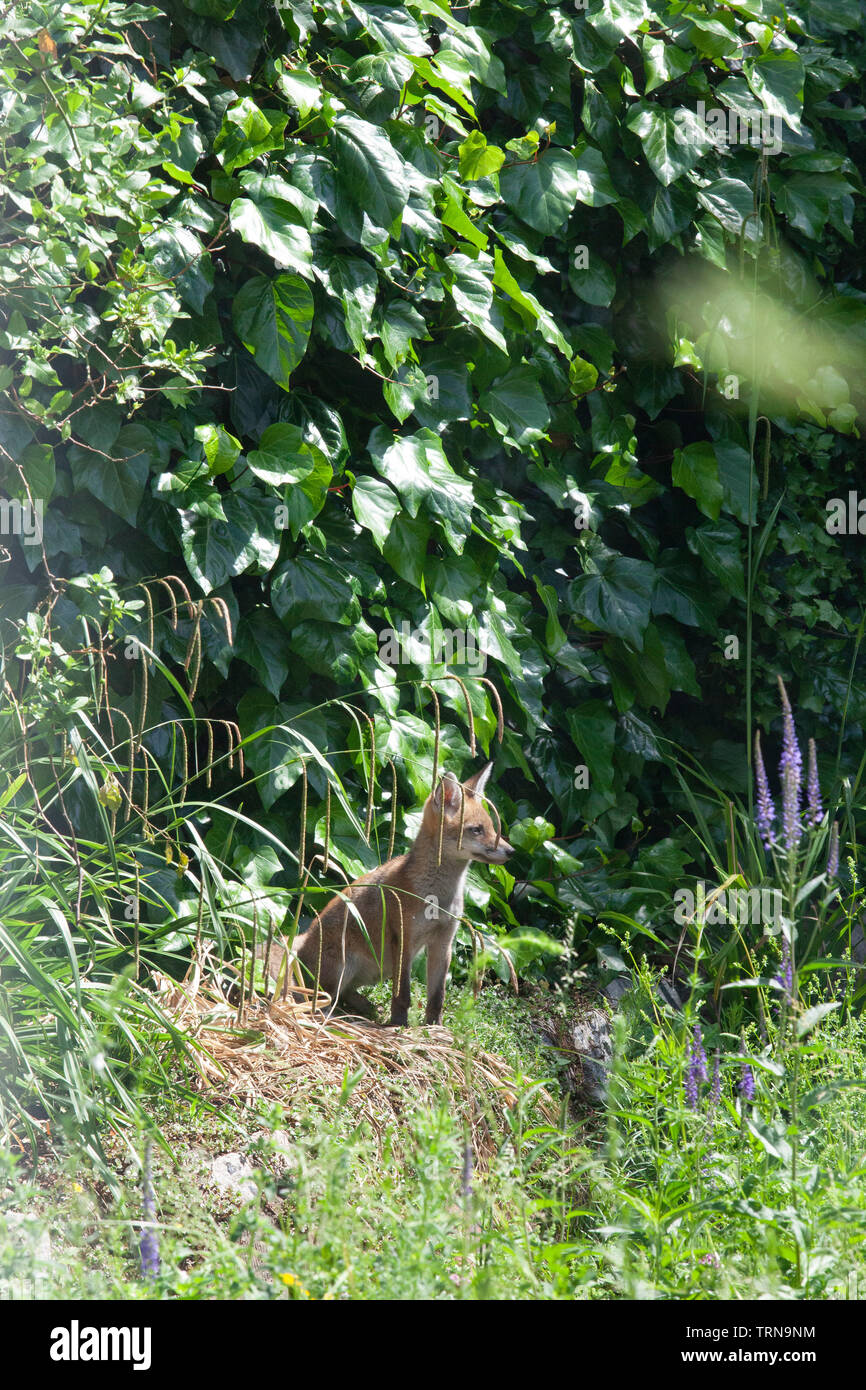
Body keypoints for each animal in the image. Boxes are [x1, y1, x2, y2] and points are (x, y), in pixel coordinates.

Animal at [266, 762, 512, 1027]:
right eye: (476, 830)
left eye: (493, 829)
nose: (512, 851)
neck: (437, 898)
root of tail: (301, 944)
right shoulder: (403, 937)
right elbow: (402, 993)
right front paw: (399, 1023)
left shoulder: (444, 942)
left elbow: (437, 996)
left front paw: (434, 1026)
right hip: (346, 966)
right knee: (321, 996)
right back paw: (335, 1015)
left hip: (376, 970)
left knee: (344, 993)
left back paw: (364, 1007)